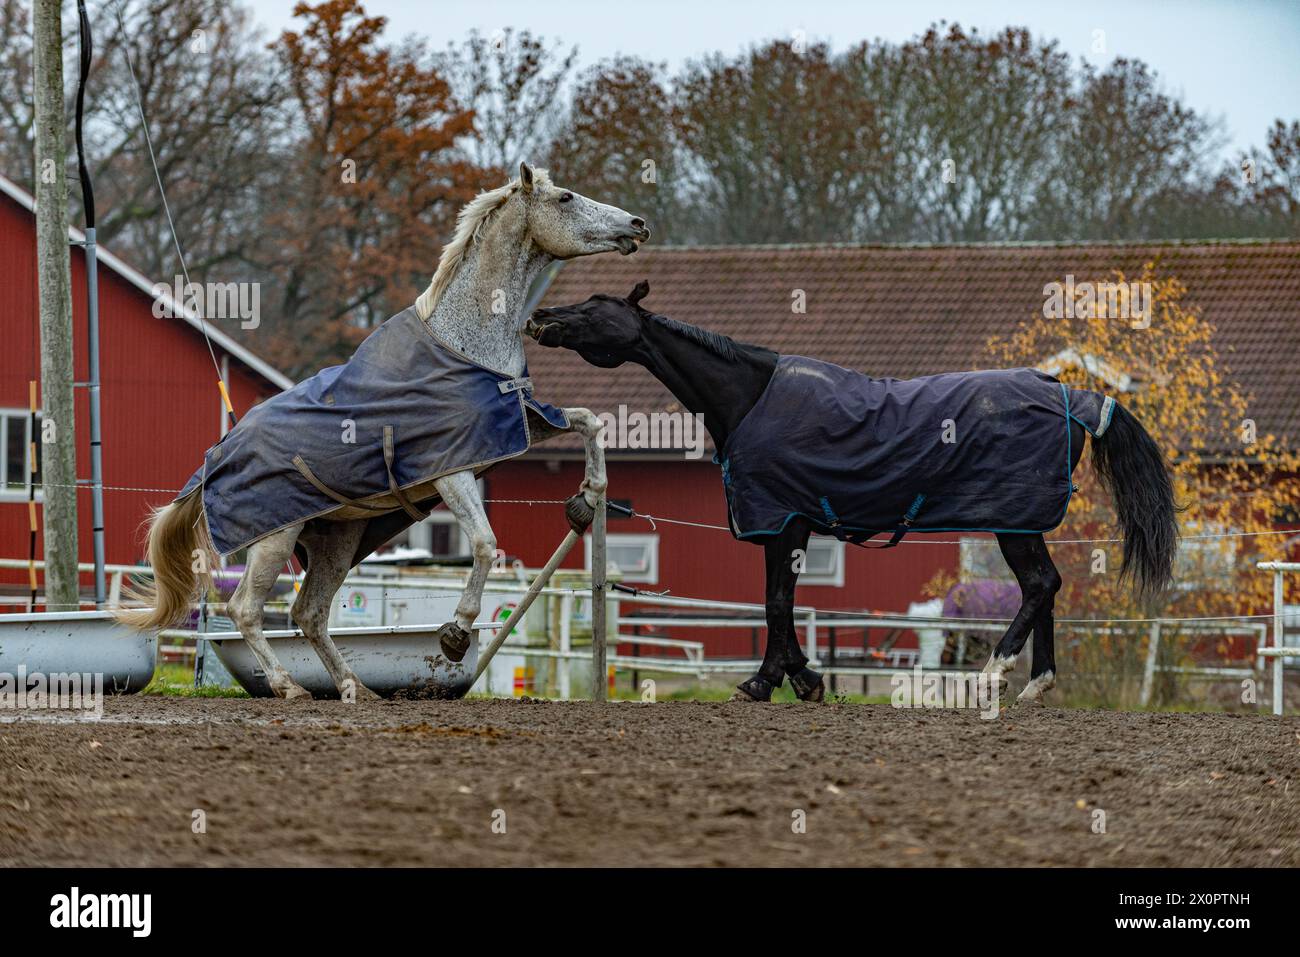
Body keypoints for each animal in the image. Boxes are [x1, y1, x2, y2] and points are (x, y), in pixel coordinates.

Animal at [117, 164, 650, 701]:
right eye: (565, 198)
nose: (638, 224)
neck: (463, 342)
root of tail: (214, 459)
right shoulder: (450, 472)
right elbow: (483, 543)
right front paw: (456, 634)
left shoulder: (514, 427)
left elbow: (588, 421)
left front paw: (587, 499)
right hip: (275, 538)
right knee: (245, 609)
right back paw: (291, 687)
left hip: (336, 541)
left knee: (309, 612)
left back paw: (355, 686)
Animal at [527, 281, 1178, 705]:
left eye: (594, 309)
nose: (541, 317)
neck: (749, 396)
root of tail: (1072, 395)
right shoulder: (785, 527)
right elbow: (779, 604)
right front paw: (798, 677)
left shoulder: (784, 522)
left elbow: (777, 603)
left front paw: (775, 681)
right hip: (1024, 523)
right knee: (1046, 588)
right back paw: (1035, 684)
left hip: (1013, 522)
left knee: (1040, 585)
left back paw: (993, 674)